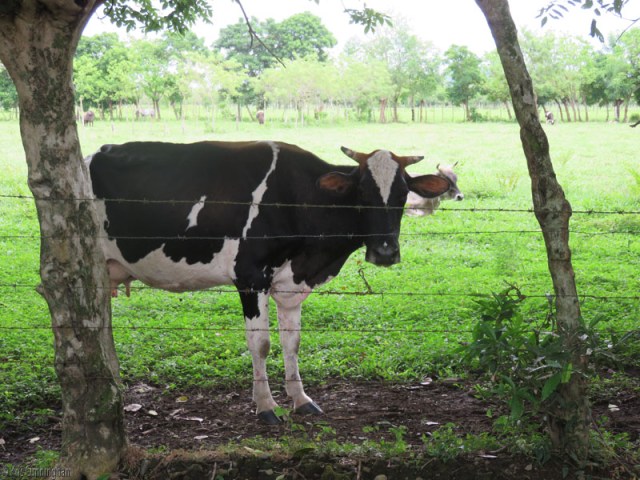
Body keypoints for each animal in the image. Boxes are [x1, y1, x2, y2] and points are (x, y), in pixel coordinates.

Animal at [85, 141, 451, 424]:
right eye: (361, 192)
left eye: (403, 193)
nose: (386, 251)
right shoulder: (250, 276)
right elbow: (260, 344)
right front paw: (265, 407)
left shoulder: (290, 283)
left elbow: (293, 343)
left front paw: (301, 400)